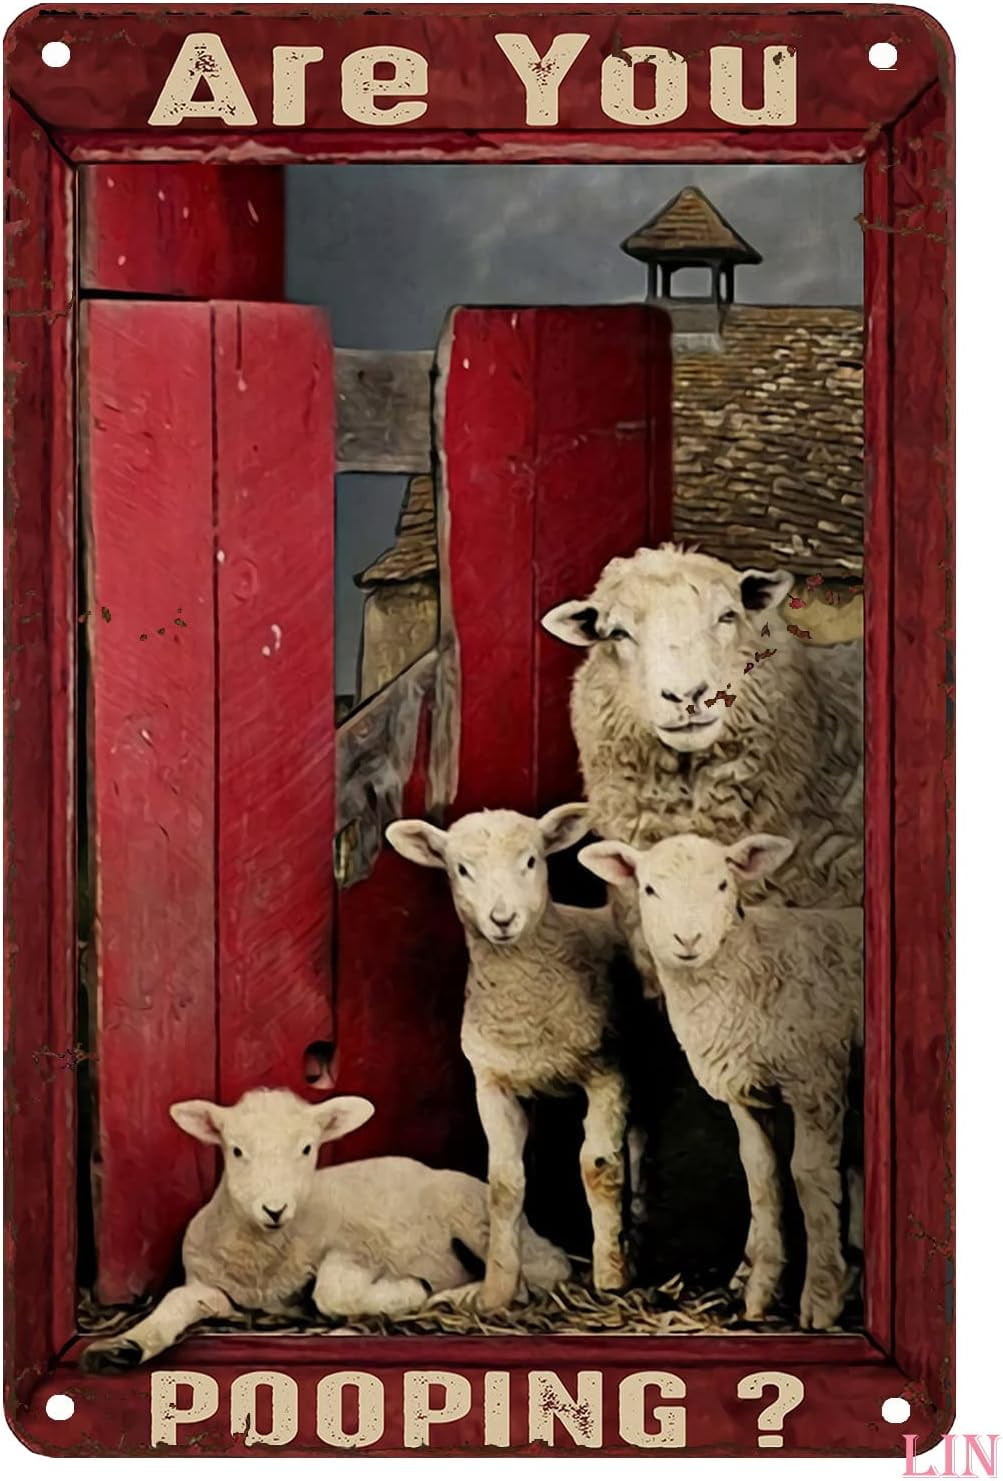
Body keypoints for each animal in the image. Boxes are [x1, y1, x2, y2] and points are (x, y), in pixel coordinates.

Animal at [80, 1088, 570, 1370]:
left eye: (307, 1148)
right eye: (235, 1150)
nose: (274, 1208)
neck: (263, 1256)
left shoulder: (358, 1250)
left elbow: (331, 1292)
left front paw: (409, 1290)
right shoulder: (211, 1288)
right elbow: (175, 1304)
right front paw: (124, 1346)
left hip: (478, 1219)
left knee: (524, 1282)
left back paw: (451, 1297)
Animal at [386, 804, 635, 1312]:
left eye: (531, 860)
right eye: (461, 869)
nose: (502, 919)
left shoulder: (607, 1072)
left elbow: (599, 1167)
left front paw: (610, 1277)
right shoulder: (493, 1082)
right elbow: (503, 1184)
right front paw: (497, 1290)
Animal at [581, 831, 862, 1330]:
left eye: (722, 885)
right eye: (649, 889)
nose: (688, 939)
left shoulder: (817, 1079)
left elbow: (809, 1177)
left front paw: (821, 1298)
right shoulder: (745, 1093)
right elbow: (762, 1177)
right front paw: (761, 1292)